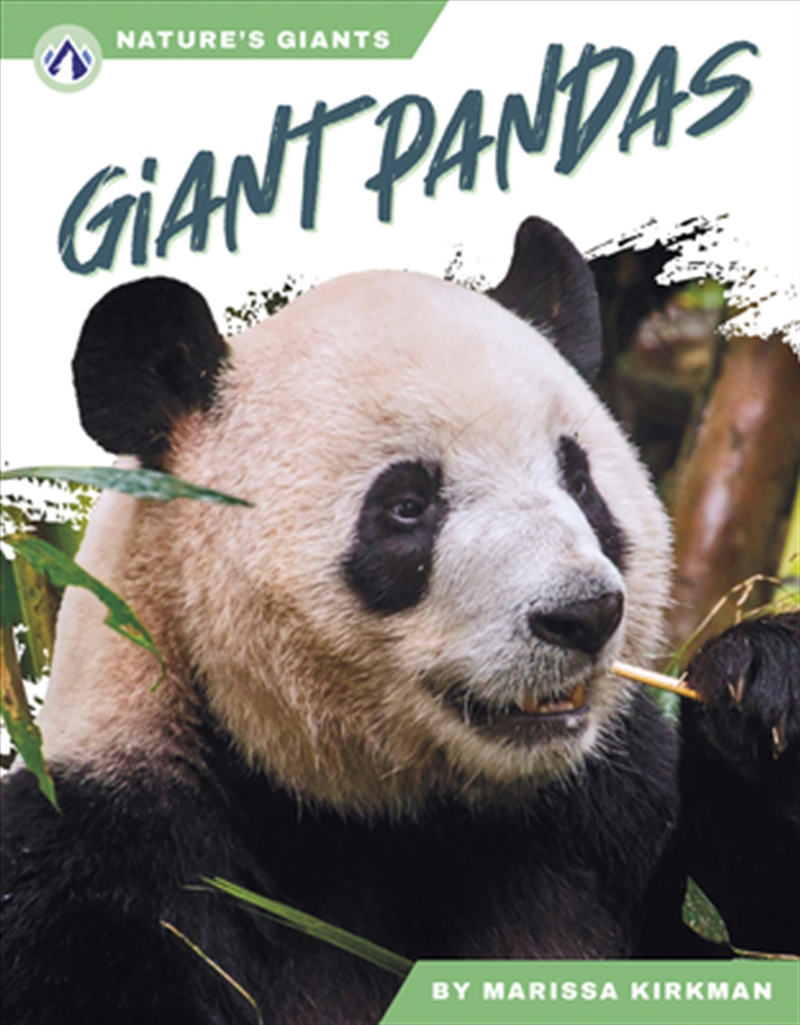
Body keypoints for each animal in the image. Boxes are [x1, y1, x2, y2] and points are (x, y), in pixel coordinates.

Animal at [1, 218, 798, 1025]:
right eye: (407, 506)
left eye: (578, 481)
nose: (583, 615)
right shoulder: (107, 864)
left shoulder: (613, 811)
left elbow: (745, 932)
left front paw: (760, 685)